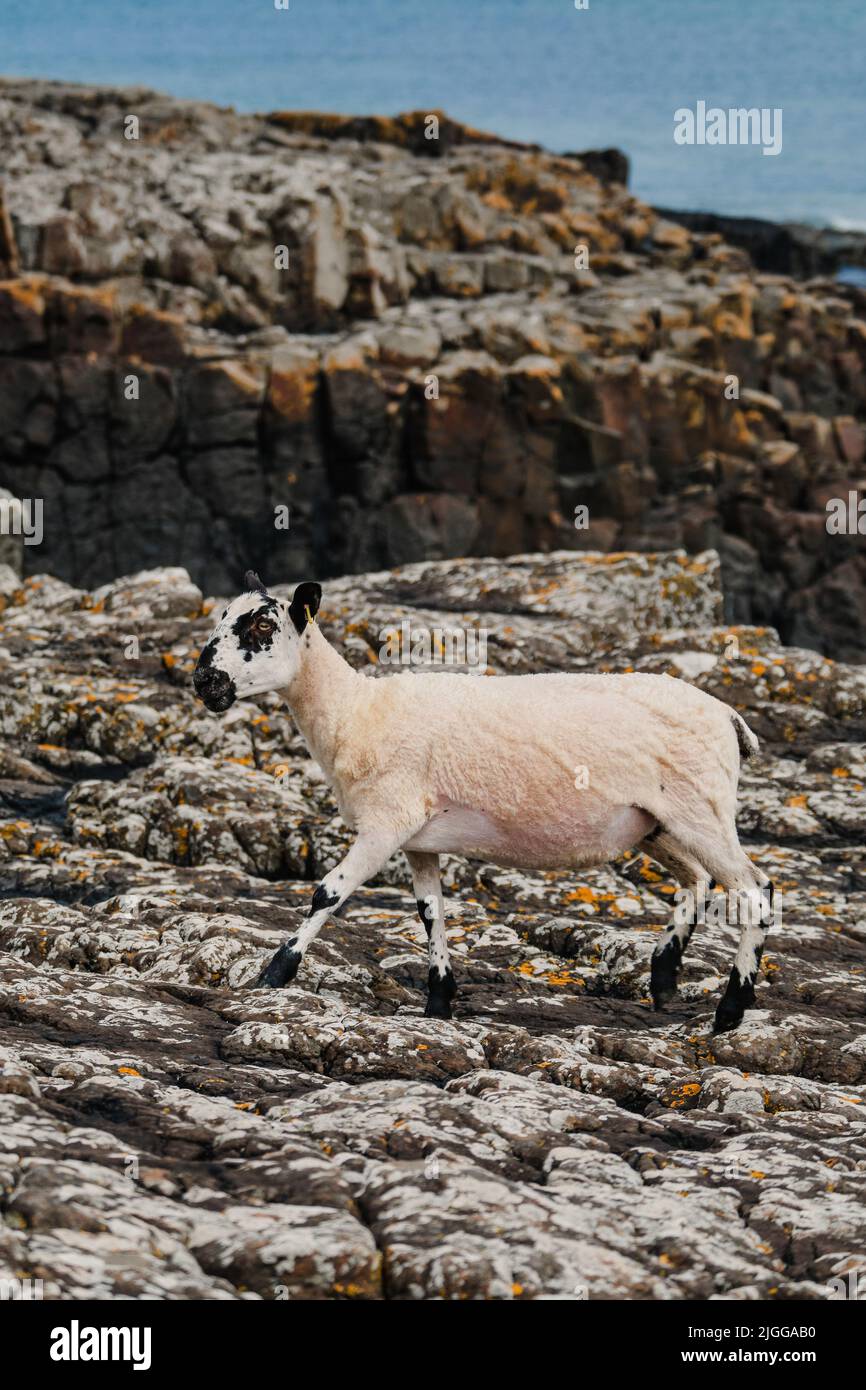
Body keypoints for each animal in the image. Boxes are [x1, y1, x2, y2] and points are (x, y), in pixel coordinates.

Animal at [193, 572, 775, 1032]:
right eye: (222, 617)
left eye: (262, 627)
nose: (204, 681)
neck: (354, 713)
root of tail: (728, 714)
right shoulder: (419, 839)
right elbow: (430, 913)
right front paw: (438, 1002)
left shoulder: (386, 822)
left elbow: (327, 893)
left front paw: (273, 974)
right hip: (654, 822)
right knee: (698, 880)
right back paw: (663, 977)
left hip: (700, 806)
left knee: (755, 891)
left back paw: (730, 1011)